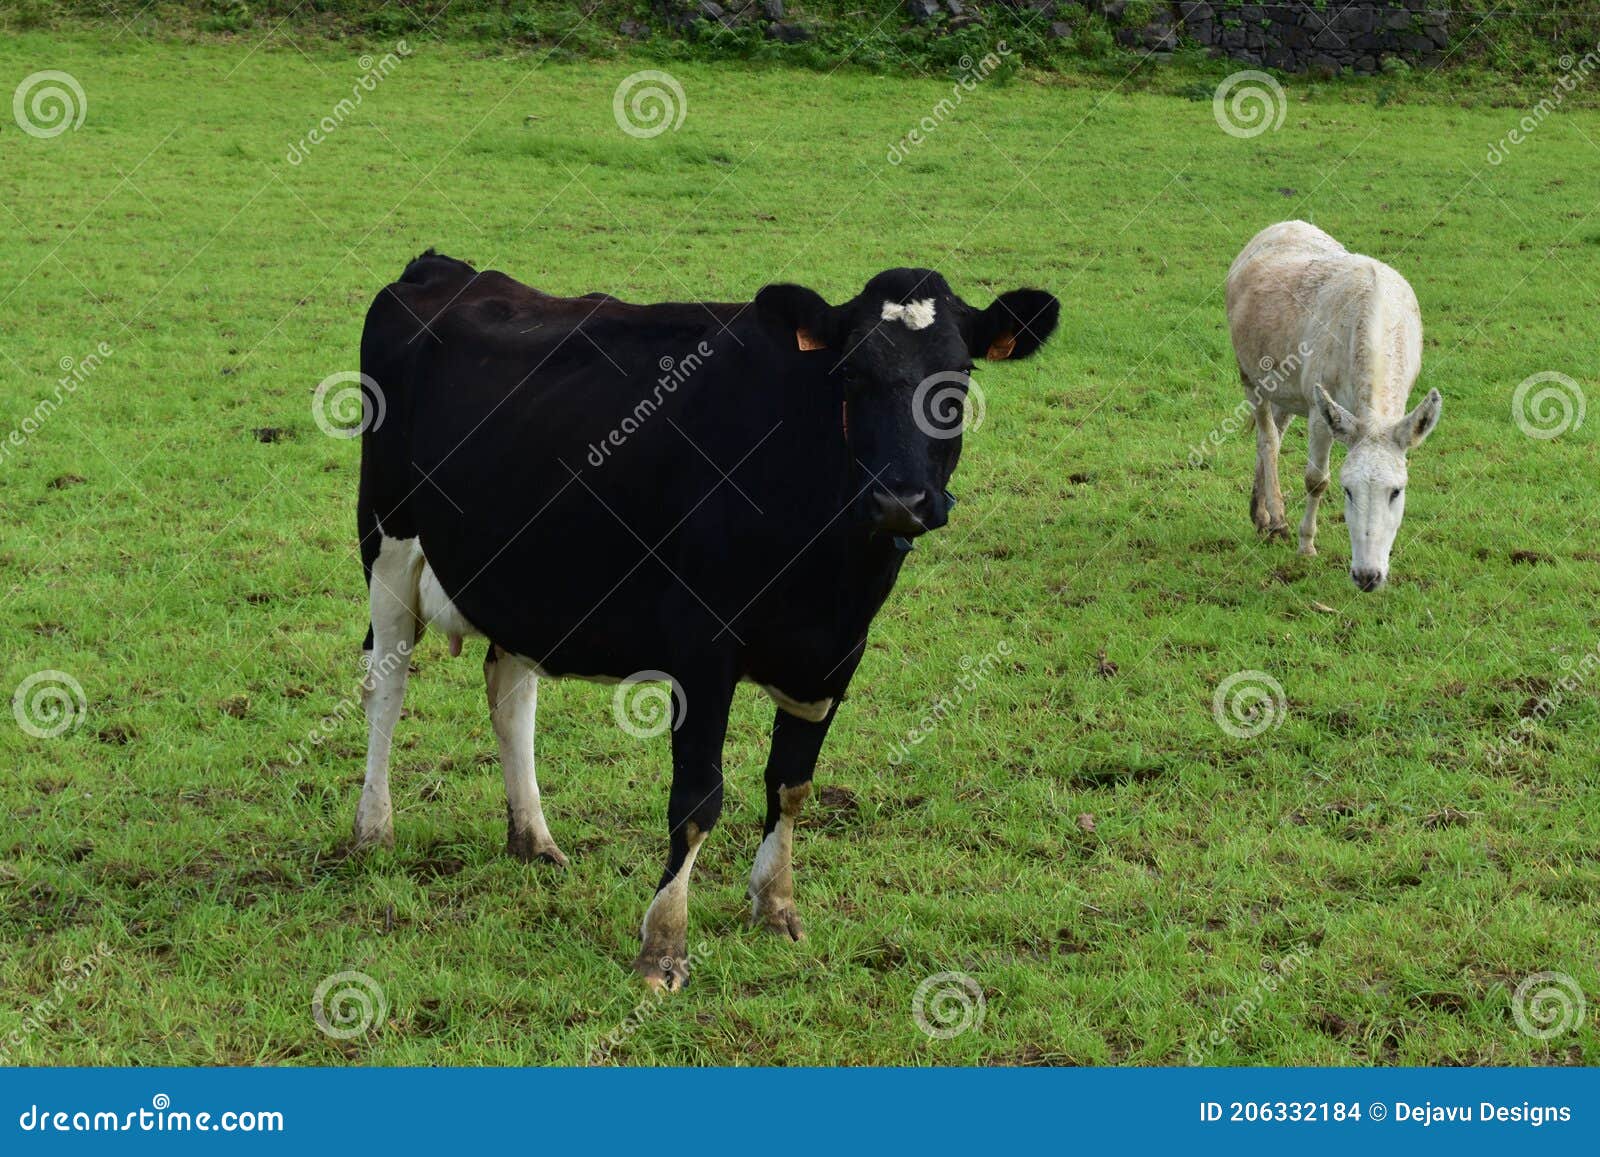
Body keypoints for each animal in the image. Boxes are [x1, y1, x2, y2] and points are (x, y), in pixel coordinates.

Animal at [351, 251, 1060, 989]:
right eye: (850, 373)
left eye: (958, 377)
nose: (900, 500)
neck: (830, 576)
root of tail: (444, 268)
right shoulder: (702, 648)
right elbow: (696, 799)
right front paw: (663, 943)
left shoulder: (836, 654)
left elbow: (792, 785)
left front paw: (776, 905)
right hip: (388, 539)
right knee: (386, 684)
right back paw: (374, 829)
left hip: (515, 571)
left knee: (510, 691)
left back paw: (534, 840)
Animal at [1225, 221, 1442, 591]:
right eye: (1348, 490)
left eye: (1397, 491)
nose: (1367, 576)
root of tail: (1280, 225)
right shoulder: (1318, 410)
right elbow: (1316, 479)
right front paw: (1306, 545)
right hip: (1250, 374)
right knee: (1267, 439)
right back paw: (1277, 520)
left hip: (1289, 389)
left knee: (1275, 433)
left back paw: (1260, 514)